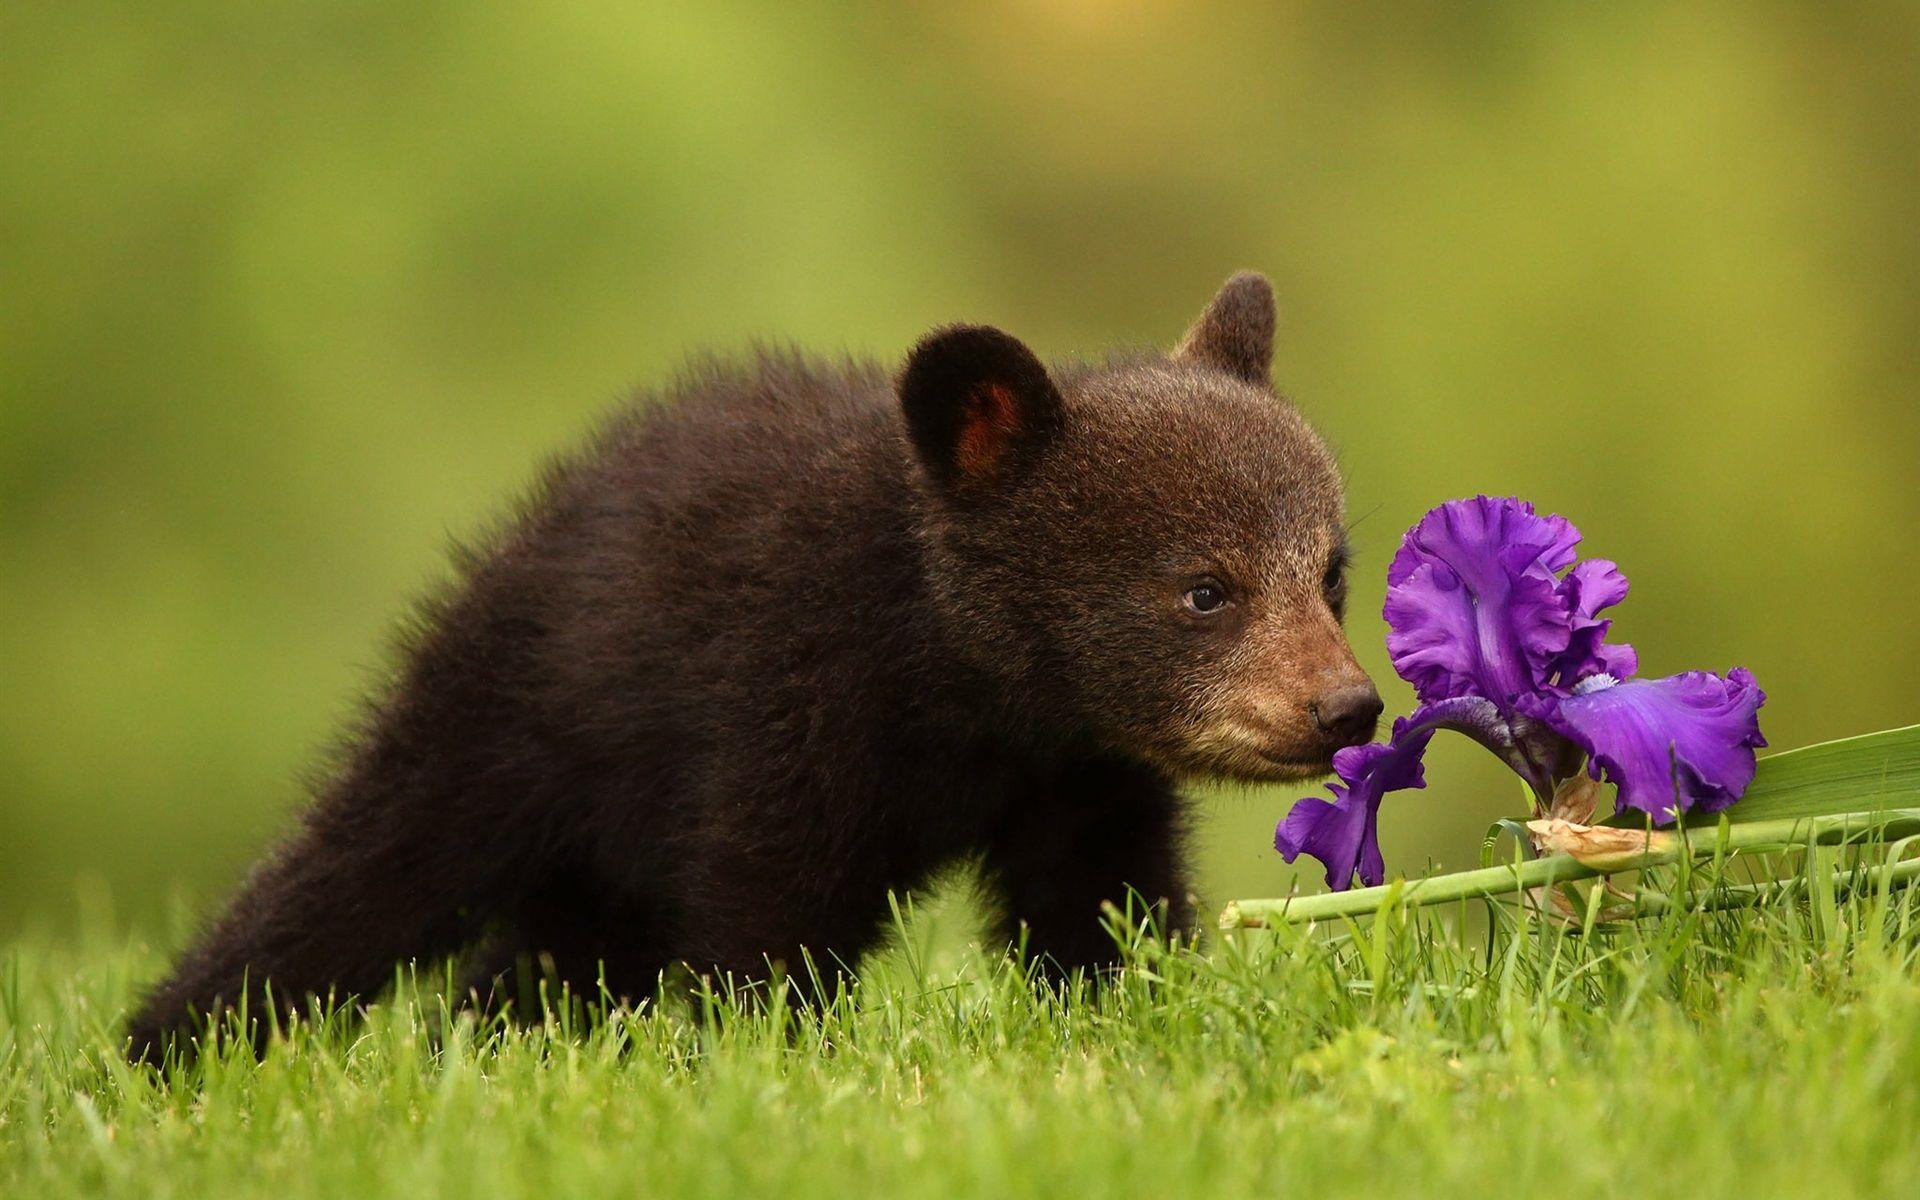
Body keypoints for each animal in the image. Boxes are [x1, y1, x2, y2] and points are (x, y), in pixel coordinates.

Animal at [125, 271, 1381, 1061]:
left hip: (600, 852)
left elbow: (1100, 905)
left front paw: (1133, 1004)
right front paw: (770, 1056)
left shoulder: (1076, 776)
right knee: (357, 872)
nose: (1345, 705)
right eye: (1204, 587)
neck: (963, 689)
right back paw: (169, 1046)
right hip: (509, 718)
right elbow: (768, 910)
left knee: (538, 963)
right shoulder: (783, 697)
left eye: (1330, 572)